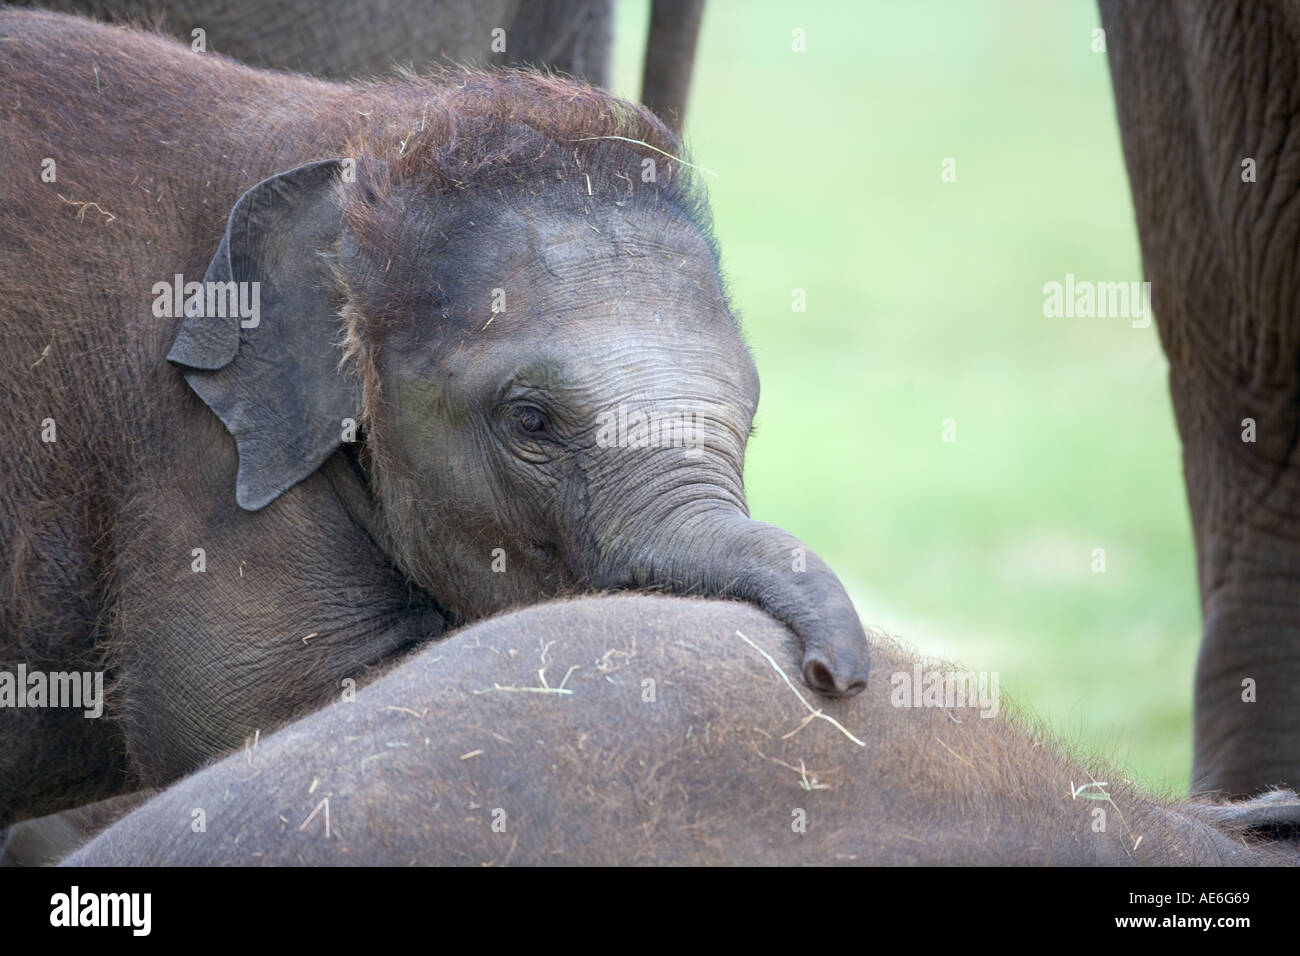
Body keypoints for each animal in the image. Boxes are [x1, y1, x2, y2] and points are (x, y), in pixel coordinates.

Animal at [0, 10, 869, 828]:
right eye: (531, 422)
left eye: (748, 424)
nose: (835, 674)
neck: (360, 143)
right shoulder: (198, 454)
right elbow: (242, 713)